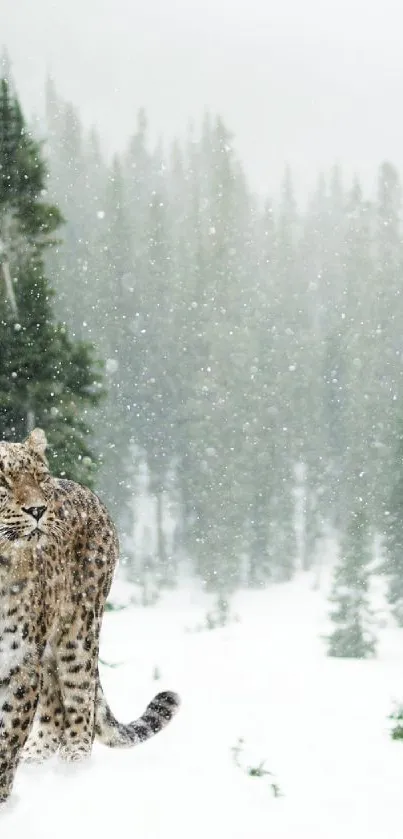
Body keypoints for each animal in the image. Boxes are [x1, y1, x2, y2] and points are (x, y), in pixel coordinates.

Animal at [0, 428, 180, 804]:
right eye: (2, 480)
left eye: (39, 477)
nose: (38, 509)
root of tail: (89, 493)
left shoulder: (18, 661)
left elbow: (6, 740)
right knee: (54, 705)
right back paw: (37, 761)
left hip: (77, 632)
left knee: (79, 701)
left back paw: (71, 771)